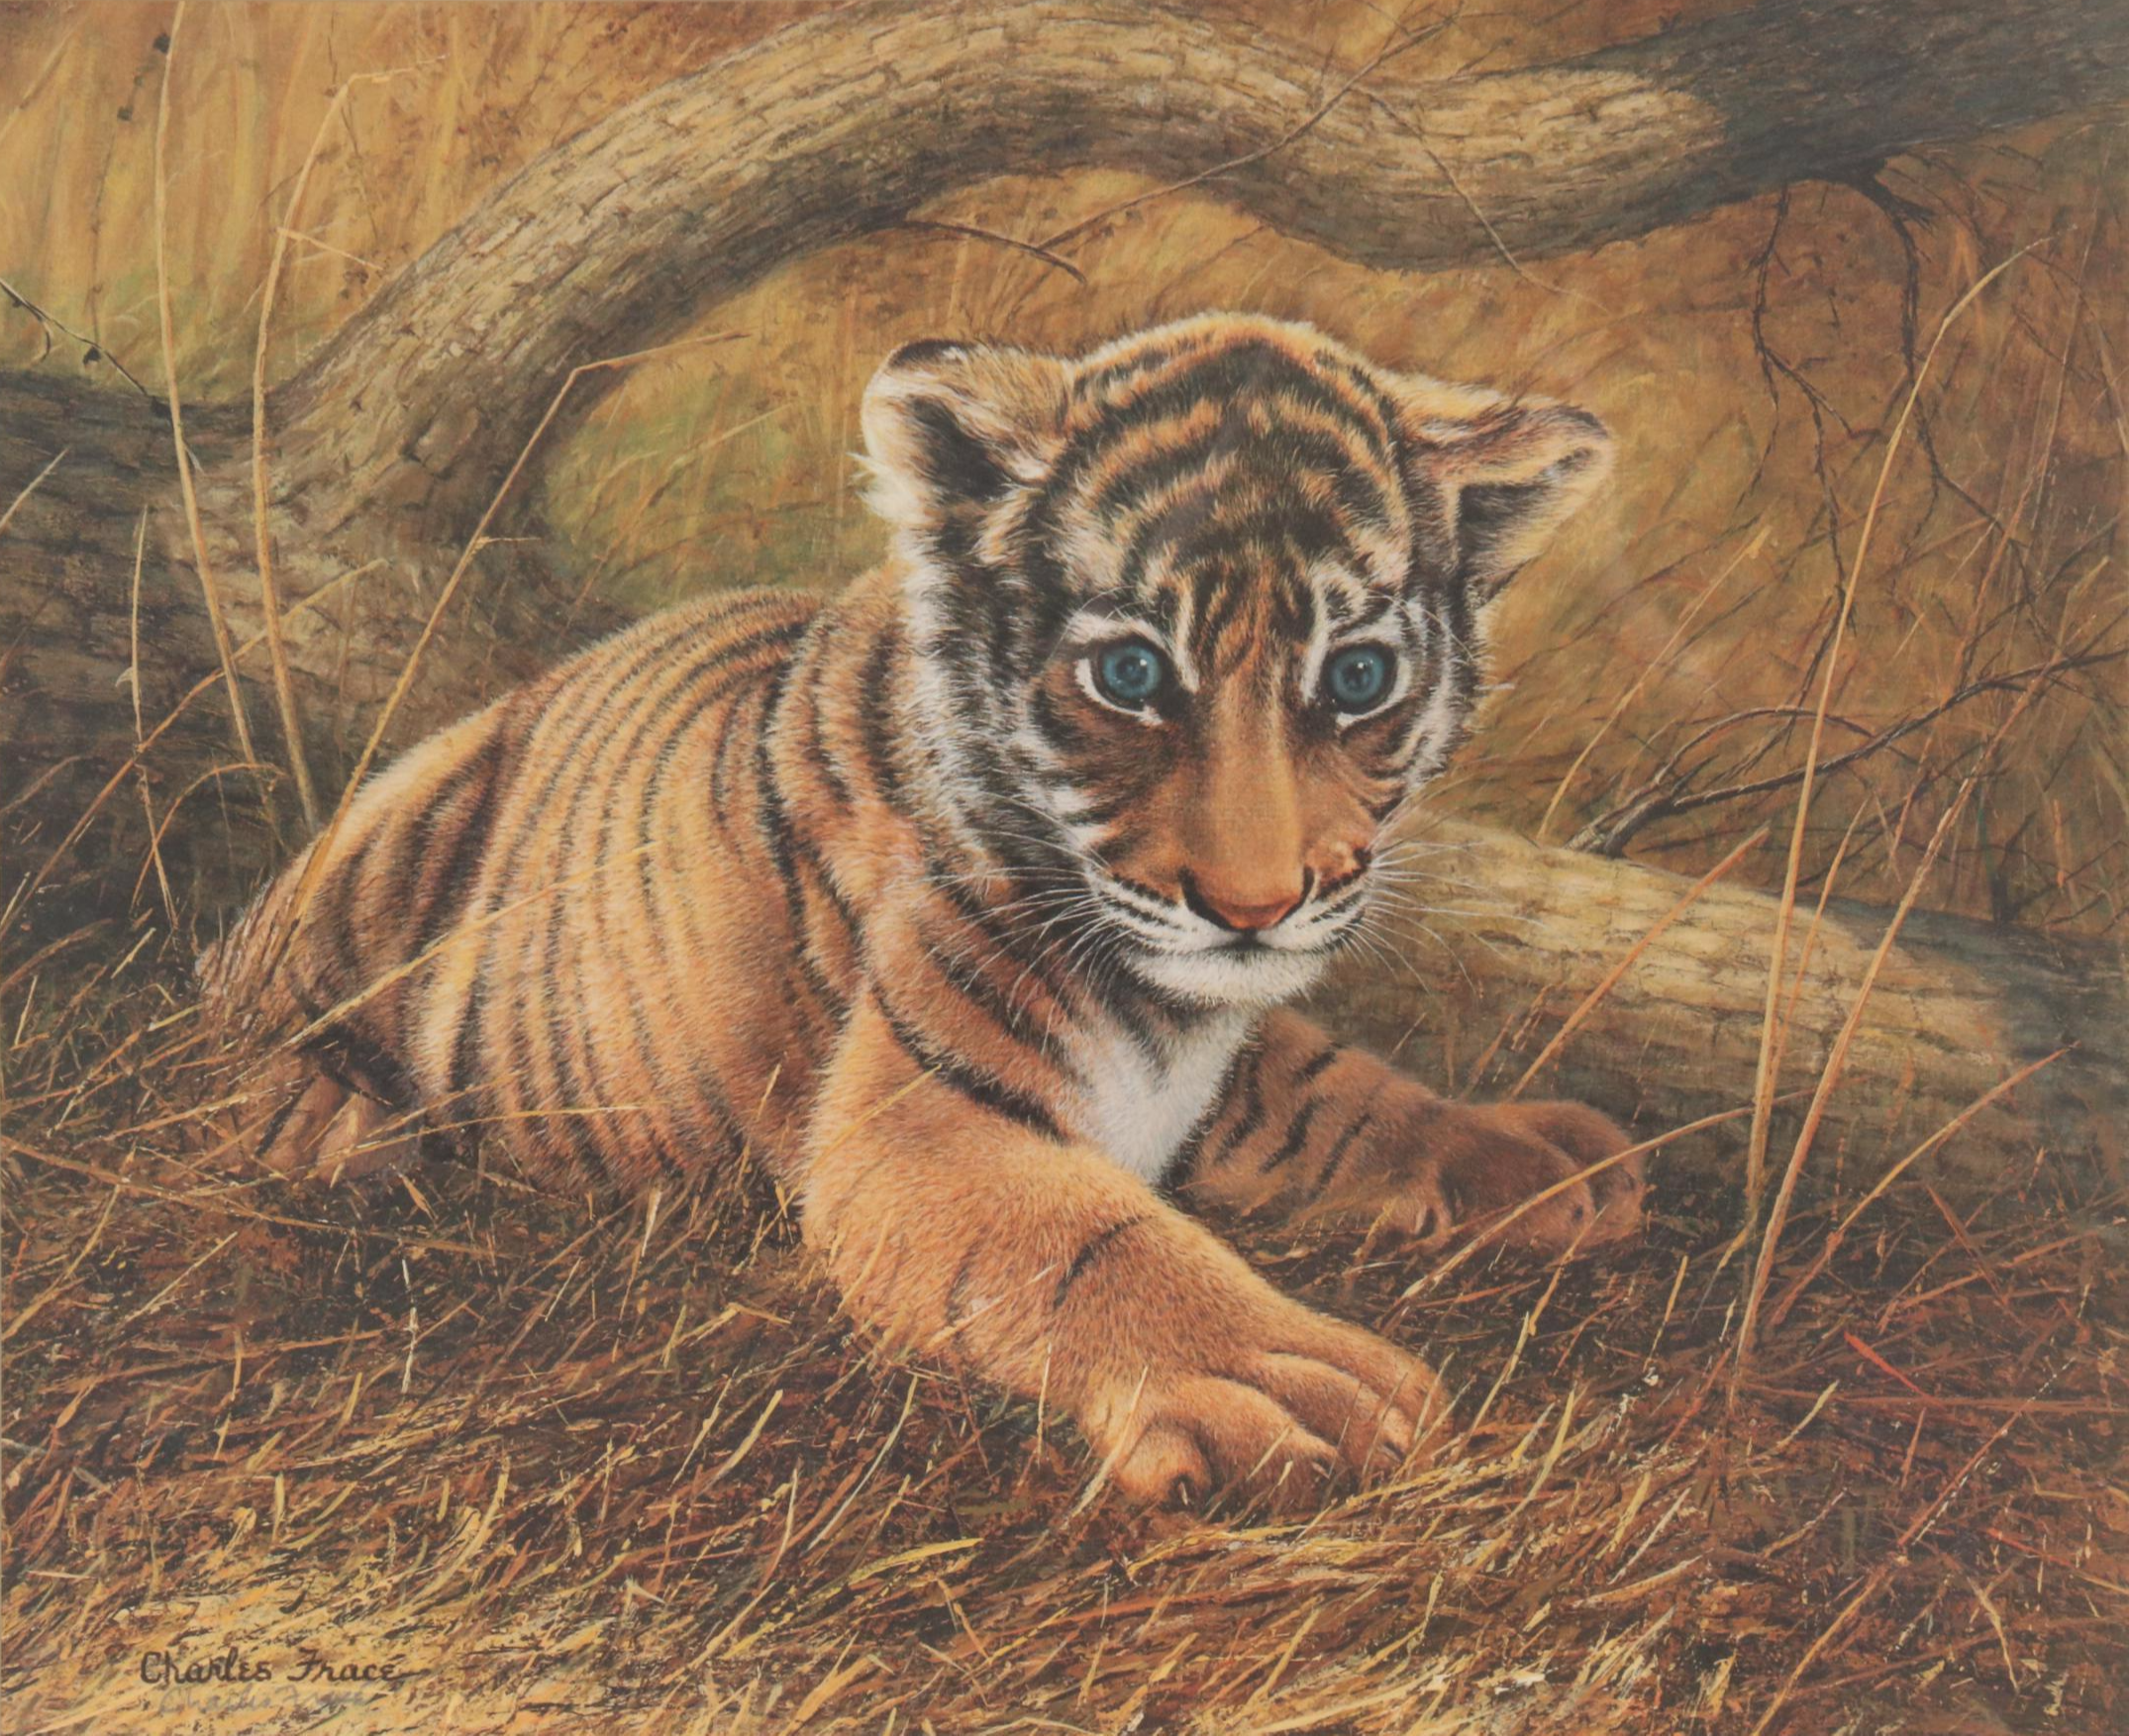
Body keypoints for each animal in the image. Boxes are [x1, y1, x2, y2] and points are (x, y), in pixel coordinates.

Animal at [200, 313, 1643, 1508]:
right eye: (1130, 674)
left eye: (1354, 679)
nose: (1255, 906)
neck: (1171, 1002)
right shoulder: (922, 1118)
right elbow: (1085, 1242)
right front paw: (1291, 1382)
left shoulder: (1219, 1043)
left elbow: (1336, 1087)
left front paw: (1540, 1157)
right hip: (388, 836)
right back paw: (326, 1121)